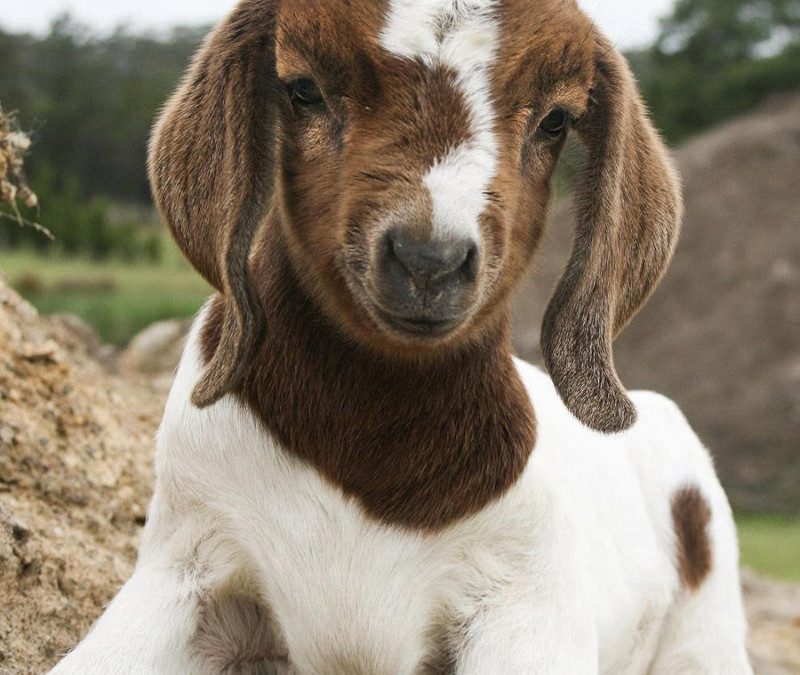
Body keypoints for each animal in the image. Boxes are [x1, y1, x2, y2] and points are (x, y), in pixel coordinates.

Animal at [52, 0, 753, 672]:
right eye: (303, 89)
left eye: (555, 121)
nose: (429, 263)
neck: (373, 451)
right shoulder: (187, 555)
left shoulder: (526, 598)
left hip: (707, 629)